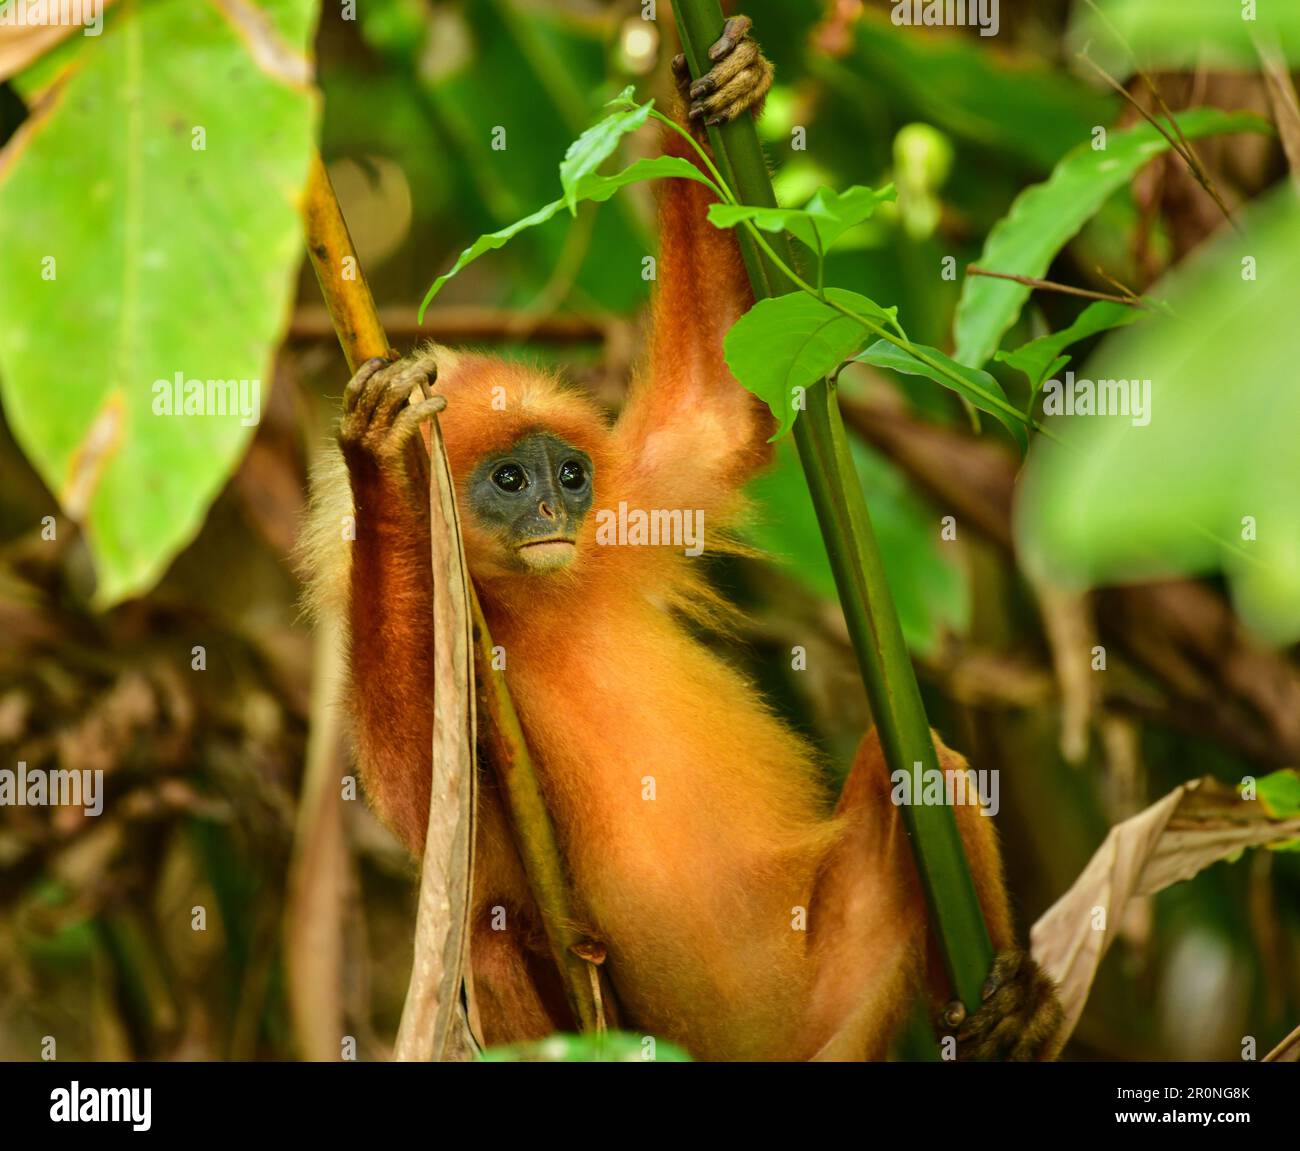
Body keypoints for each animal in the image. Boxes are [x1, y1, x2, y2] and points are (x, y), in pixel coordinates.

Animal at [305, 15, 1062, 1062]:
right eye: (509, 481)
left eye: (567, 475)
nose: (554, 516)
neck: (541, 607)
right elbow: (432, 803)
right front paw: (379, 463)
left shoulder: (627, 513)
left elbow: (715, 405)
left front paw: (714, 77)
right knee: (486, 939)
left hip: (844, 994)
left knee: (922, 765)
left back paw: (1007, 1015)